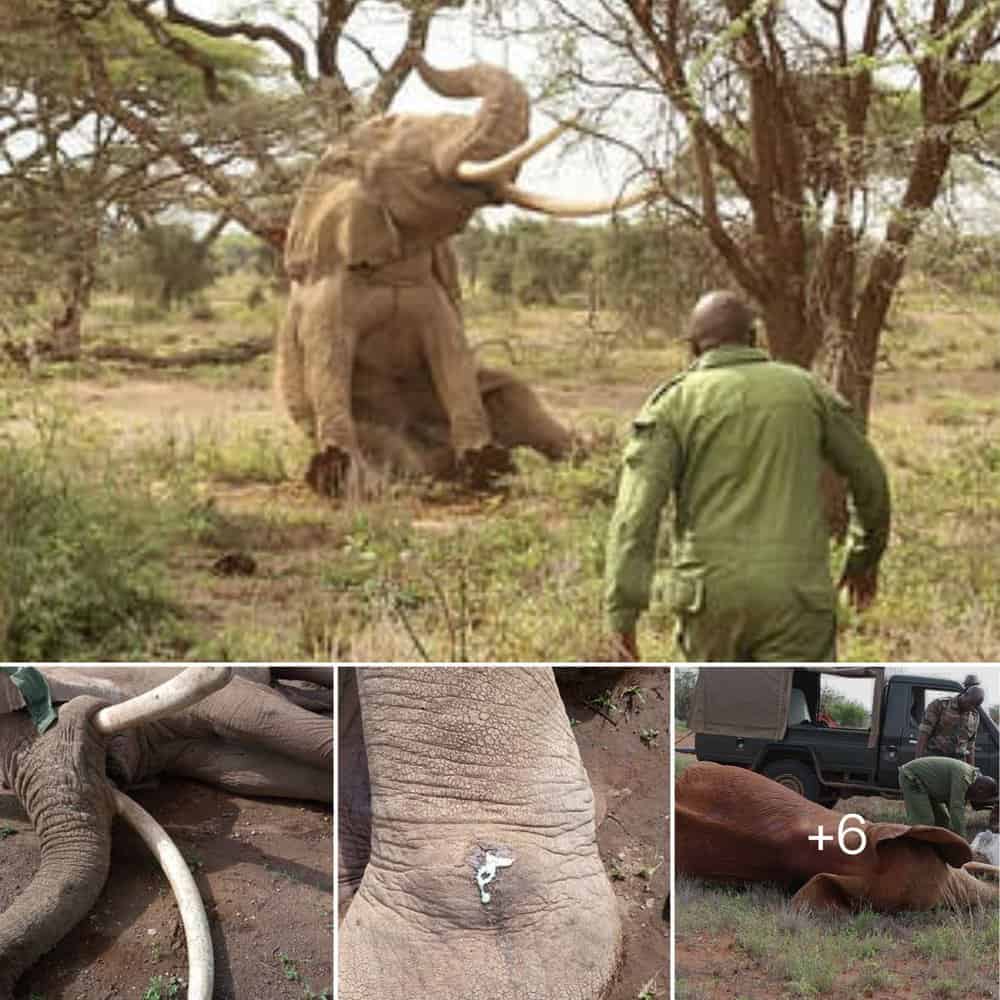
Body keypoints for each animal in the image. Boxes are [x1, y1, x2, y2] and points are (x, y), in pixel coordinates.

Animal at [279, 54, 651, 495]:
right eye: (395, 126)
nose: (418, 53)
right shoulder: (326, 290)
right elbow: (329, 361)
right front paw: (341, 476)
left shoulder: (433, 297)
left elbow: (452, 354)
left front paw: (484, 462)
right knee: (395, 450)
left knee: (513, 391)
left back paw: (587, 454)